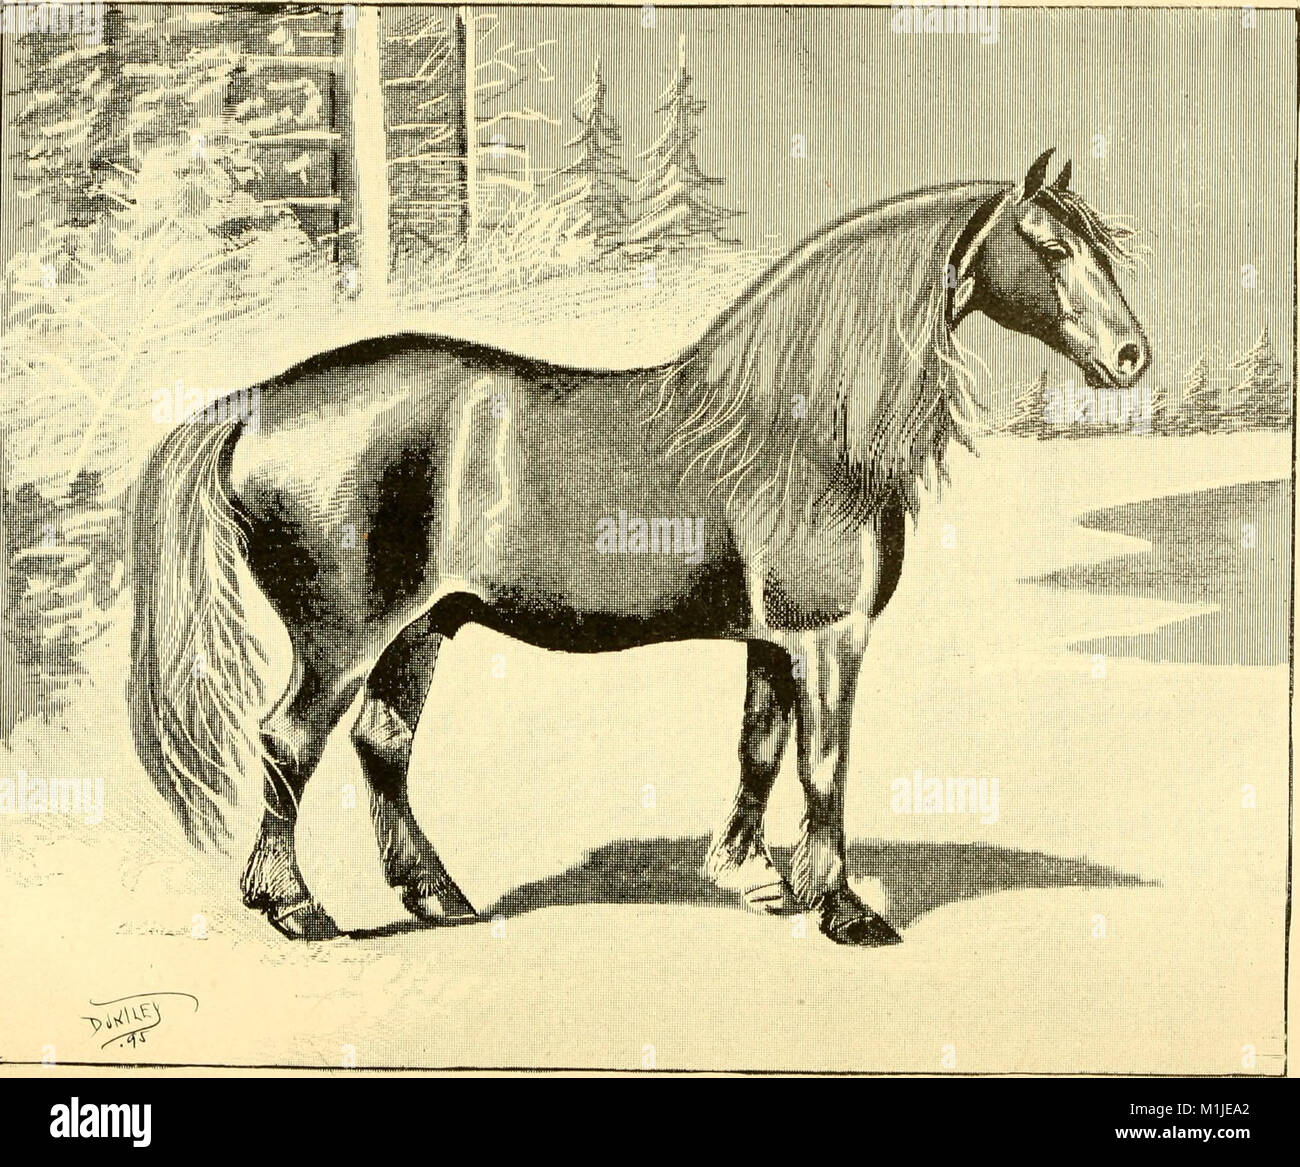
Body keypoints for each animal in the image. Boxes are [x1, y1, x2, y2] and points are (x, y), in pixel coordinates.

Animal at [128, 148, 1149, 946]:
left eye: (1098, 245)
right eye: (1051, 246)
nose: (1132, 356)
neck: (799, 426)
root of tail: (253, 405)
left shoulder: (772, 639)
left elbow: (759, 749)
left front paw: (752, 873)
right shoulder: (828, 635)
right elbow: (824, 762)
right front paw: (844, 906)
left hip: (420, 629)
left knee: (382, 745)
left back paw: (439, 894)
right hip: (342, 638)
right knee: (289, 740)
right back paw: (296, 907)